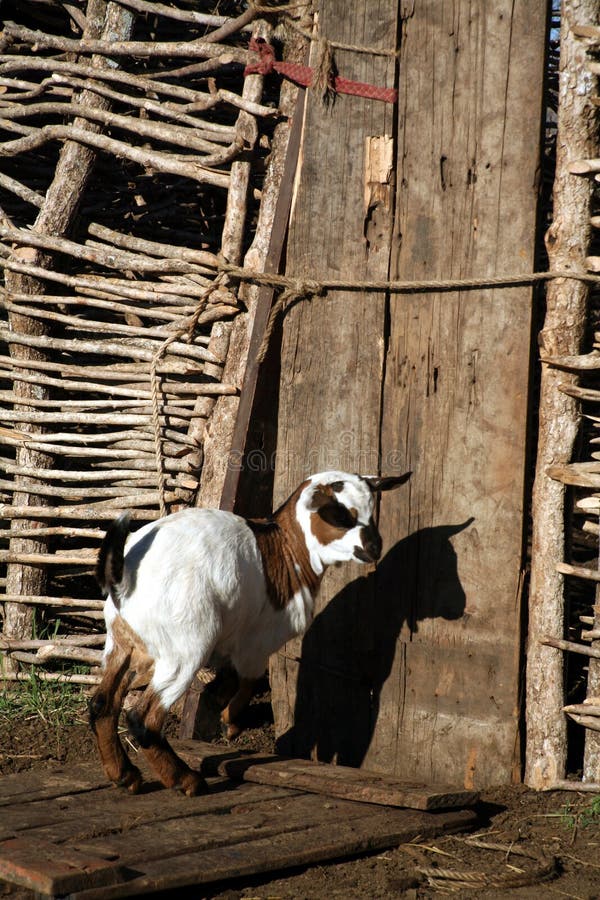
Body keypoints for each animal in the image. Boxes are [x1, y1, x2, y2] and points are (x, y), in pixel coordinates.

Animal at [90, 470, 410, 795]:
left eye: (372, 509)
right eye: (339, 514)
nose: (374, 547)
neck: (287, 551)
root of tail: (124, 575)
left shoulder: (234, 639)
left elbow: (232, 677)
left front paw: (219, 705)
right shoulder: (255, 641)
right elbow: (250, 680)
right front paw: (228, 721)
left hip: (124, 643)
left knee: (103, 703)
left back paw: (124, 775)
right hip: (185, 648)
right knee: (143, 717)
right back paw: (186, 780)